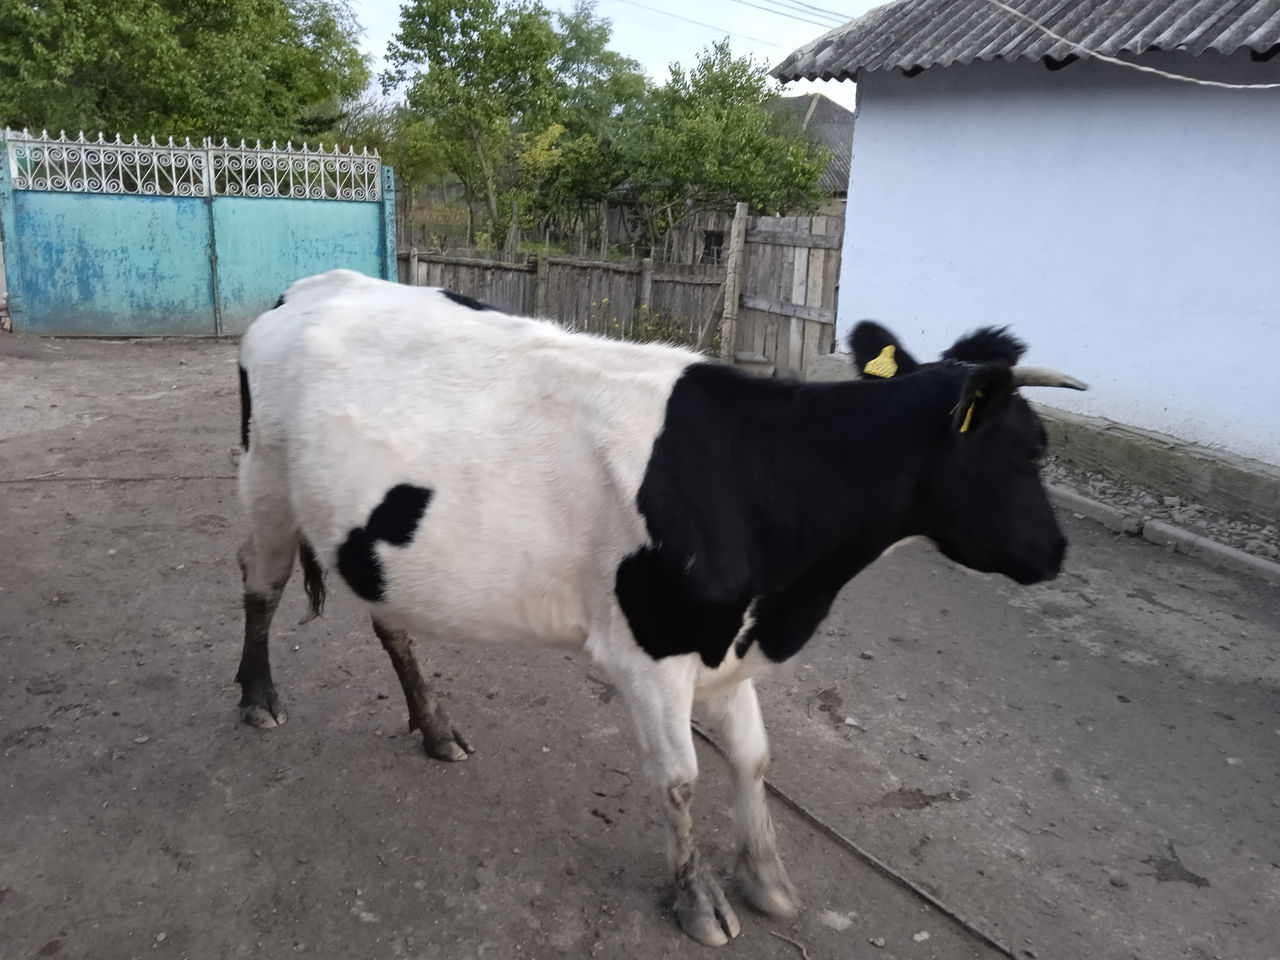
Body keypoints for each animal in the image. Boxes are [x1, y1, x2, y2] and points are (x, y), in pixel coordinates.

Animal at [233, 269, 1086, 946]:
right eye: (1031, 450)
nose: (1057, 552)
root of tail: (314, 285)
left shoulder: (727, 642)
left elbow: (754, 757)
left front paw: (765, 876)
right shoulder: (648, 651)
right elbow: (679, 779)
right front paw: (697, 897)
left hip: (375, 547)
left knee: (390, 621)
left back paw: (436, 728)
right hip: (264, 483)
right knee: (258, 586)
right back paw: (258, 699)